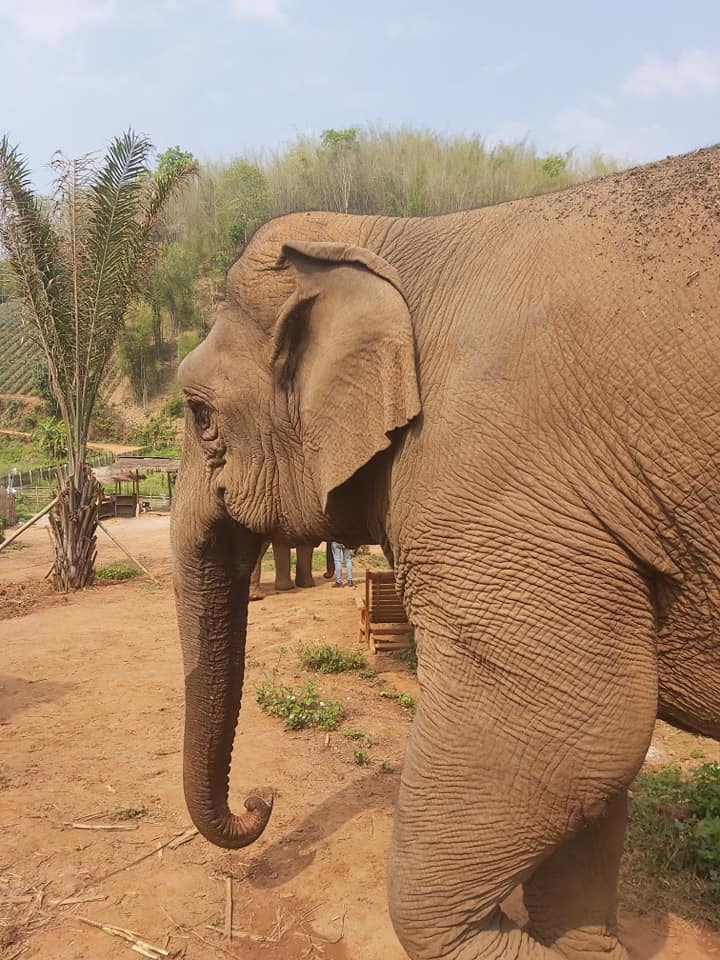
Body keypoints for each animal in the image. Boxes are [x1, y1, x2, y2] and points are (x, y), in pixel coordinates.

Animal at [171, 145, 720, 960]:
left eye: (201, 417)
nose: (262, 798)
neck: (392, 238)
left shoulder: (496, 478)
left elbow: (574, 727)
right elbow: (594, 753)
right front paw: (584, 946)